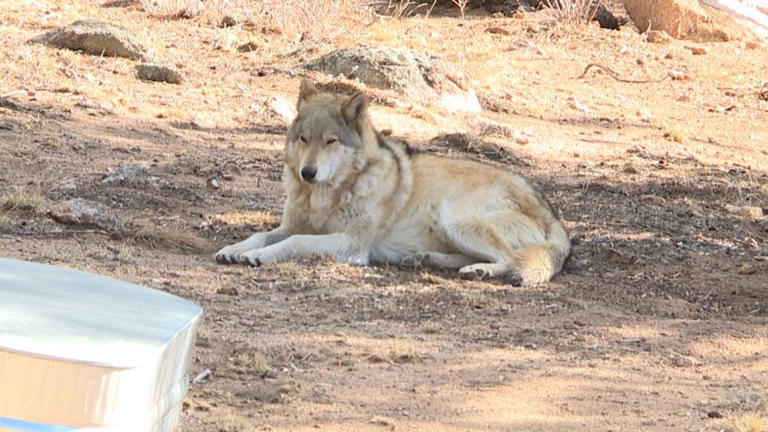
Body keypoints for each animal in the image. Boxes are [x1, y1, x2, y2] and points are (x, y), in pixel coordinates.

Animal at [215, 80, 570, 286]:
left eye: (330, 141)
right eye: (303, 139)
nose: (308, 173)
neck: (328, 196)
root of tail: (552, 214)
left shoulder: (352, 245)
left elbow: (295, 243)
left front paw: (259, 257)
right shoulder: (290, 225)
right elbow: (262, 234)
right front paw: (234, 249)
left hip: (453, 219)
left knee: (508, 259)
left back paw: (478, 271)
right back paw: (427, 260)